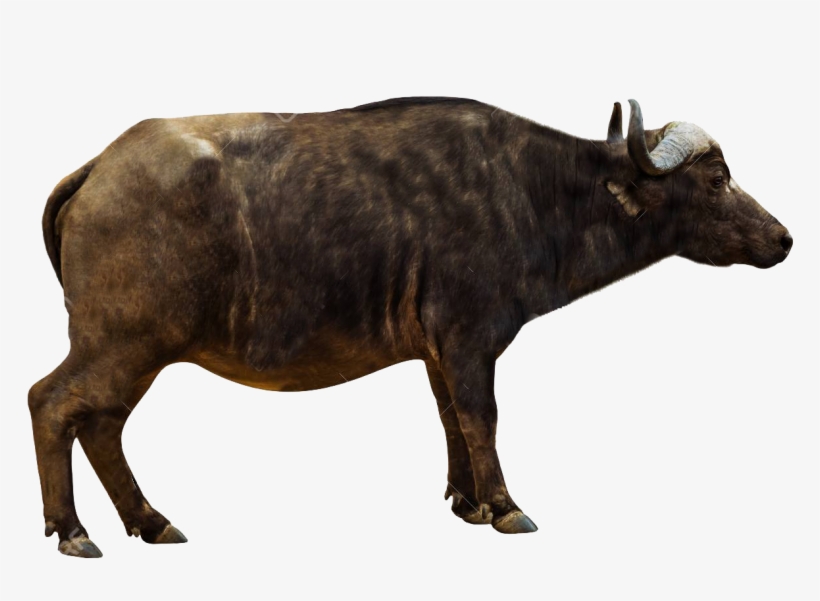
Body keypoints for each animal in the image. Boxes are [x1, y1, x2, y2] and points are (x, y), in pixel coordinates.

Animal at [30, 97, 791, 557]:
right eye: (718, 177)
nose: (783, 238)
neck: (533, 191)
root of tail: (98, 167)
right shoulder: (469, 338)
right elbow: (482, 416)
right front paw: (506, 505)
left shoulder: (436, 352)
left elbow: (451, 416)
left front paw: (468, 502)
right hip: (122, 342)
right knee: (52, 403)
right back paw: (72, 531)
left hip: (140, 352)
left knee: (101, 425)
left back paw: (149, 521)